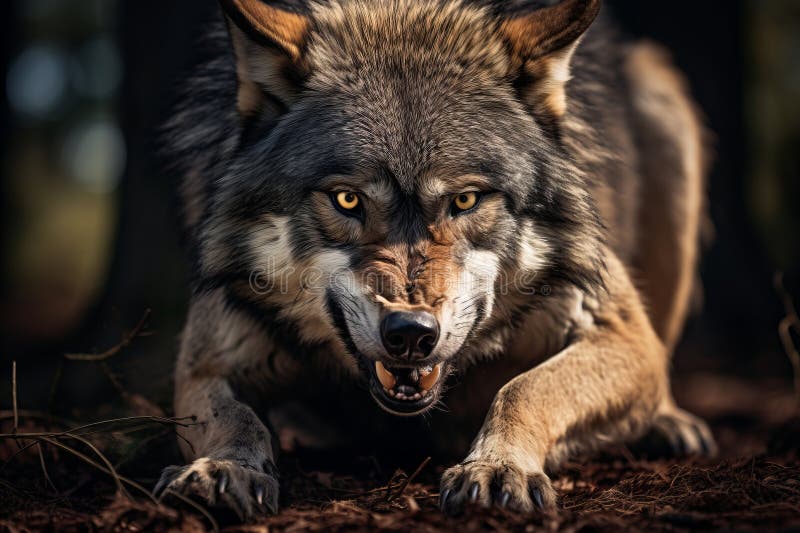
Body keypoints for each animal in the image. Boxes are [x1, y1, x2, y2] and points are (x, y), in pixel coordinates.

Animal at [156, 0, 715, 520]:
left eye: (465, 200)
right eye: (347, 200)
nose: (410, 332)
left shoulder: (621, 335)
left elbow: (523, 390)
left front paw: (496, 467)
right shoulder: (206, 362)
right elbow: (236, 419)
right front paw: (224, 468)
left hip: (667, 118)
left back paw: (668, 422)